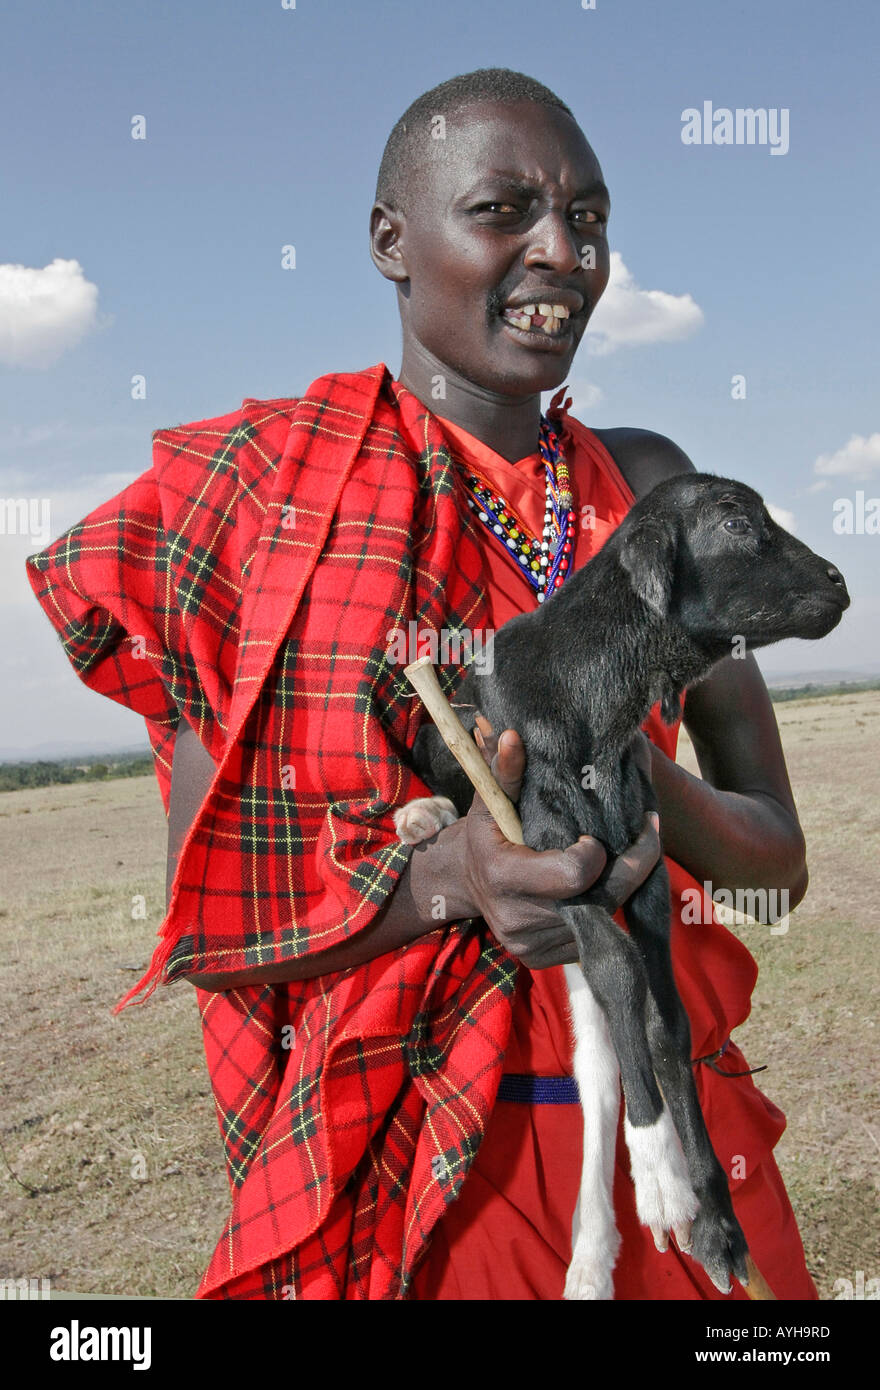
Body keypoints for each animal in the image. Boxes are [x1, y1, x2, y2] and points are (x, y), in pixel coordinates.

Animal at [394, 471, 849, 1299]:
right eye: (736, 523)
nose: (838, 582)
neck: (600, 700)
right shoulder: (555, 860)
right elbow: (616, 969)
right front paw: (662, 1171)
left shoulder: (643, 877)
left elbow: (667, 1020)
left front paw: (715, 1221)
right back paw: (423, 814)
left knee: (597, 1059)